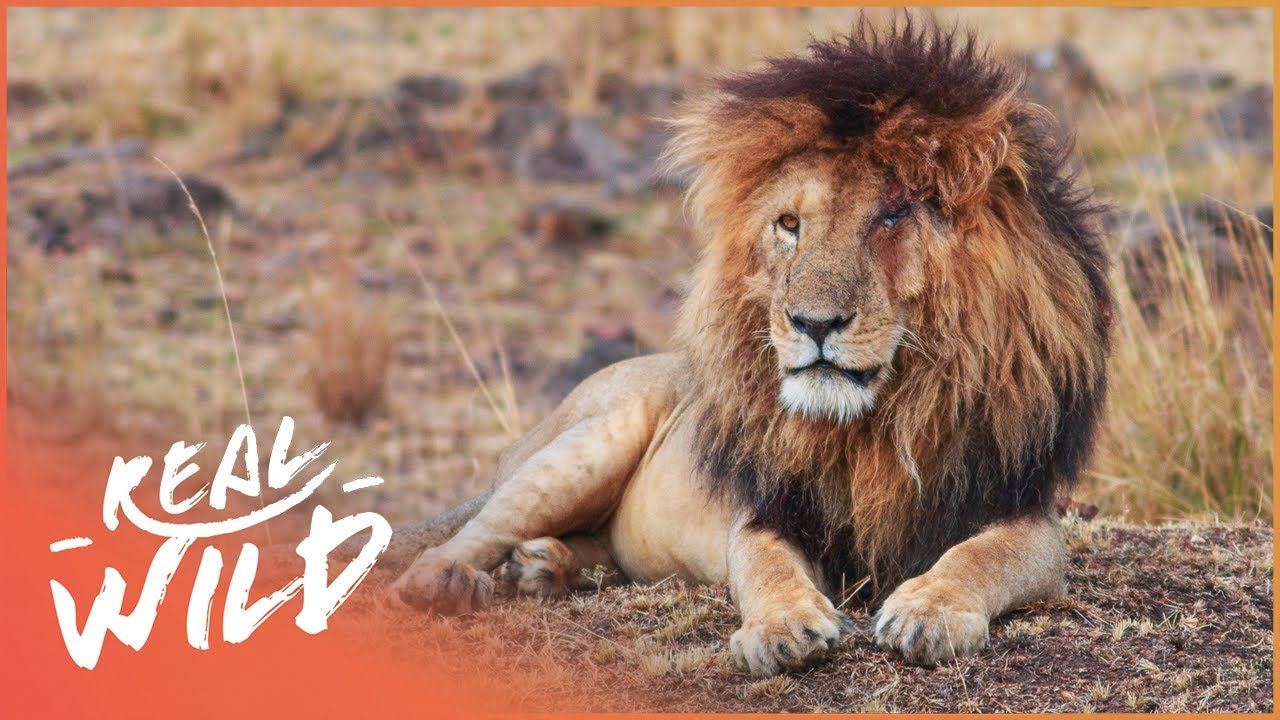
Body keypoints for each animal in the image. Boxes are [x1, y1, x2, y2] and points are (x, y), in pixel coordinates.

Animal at [379, 20, 1112, 676]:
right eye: (789, 224)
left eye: (893, 213)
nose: (813, 323)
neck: (876, 425)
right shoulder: (770, 511)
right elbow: (766, 566)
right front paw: (782, 629)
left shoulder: (1020, 510)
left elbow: (981, 556)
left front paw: (930, 611)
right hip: (588, 441)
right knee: (471, 534)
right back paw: (452, 579)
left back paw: (544, 567)